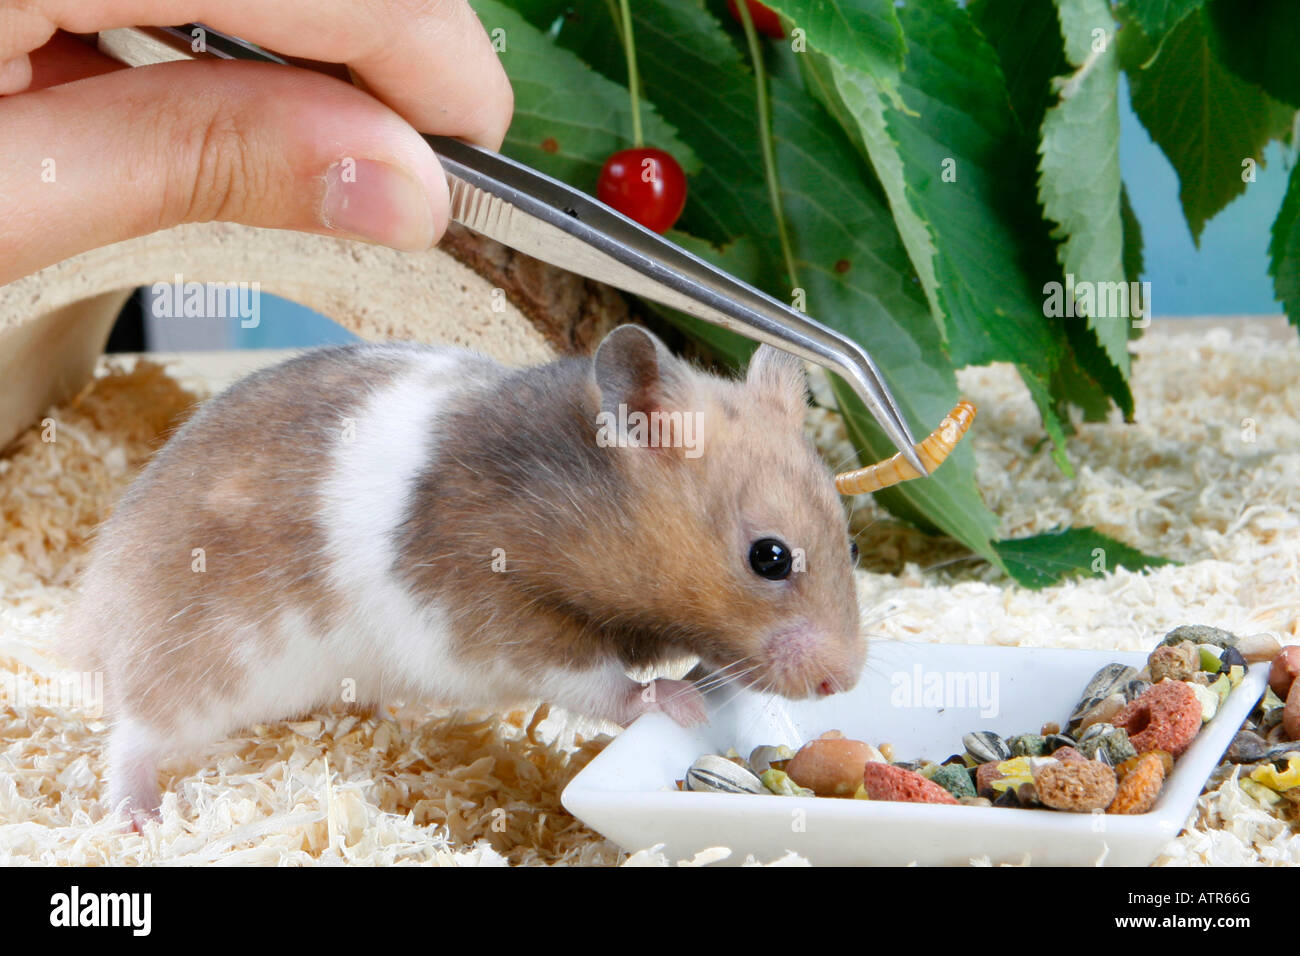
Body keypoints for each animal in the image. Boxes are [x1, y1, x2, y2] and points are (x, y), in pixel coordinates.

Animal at [62, 325, 865, 823]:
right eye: (770, 557)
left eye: (852, 547)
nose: (845, 682)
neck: (577, 511)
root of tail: (92, 617)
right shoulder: (487, 621)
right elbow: (597, 681)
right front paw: (681, 702)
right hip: (193, 666)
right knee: (130, 738)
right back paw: (138, 821)